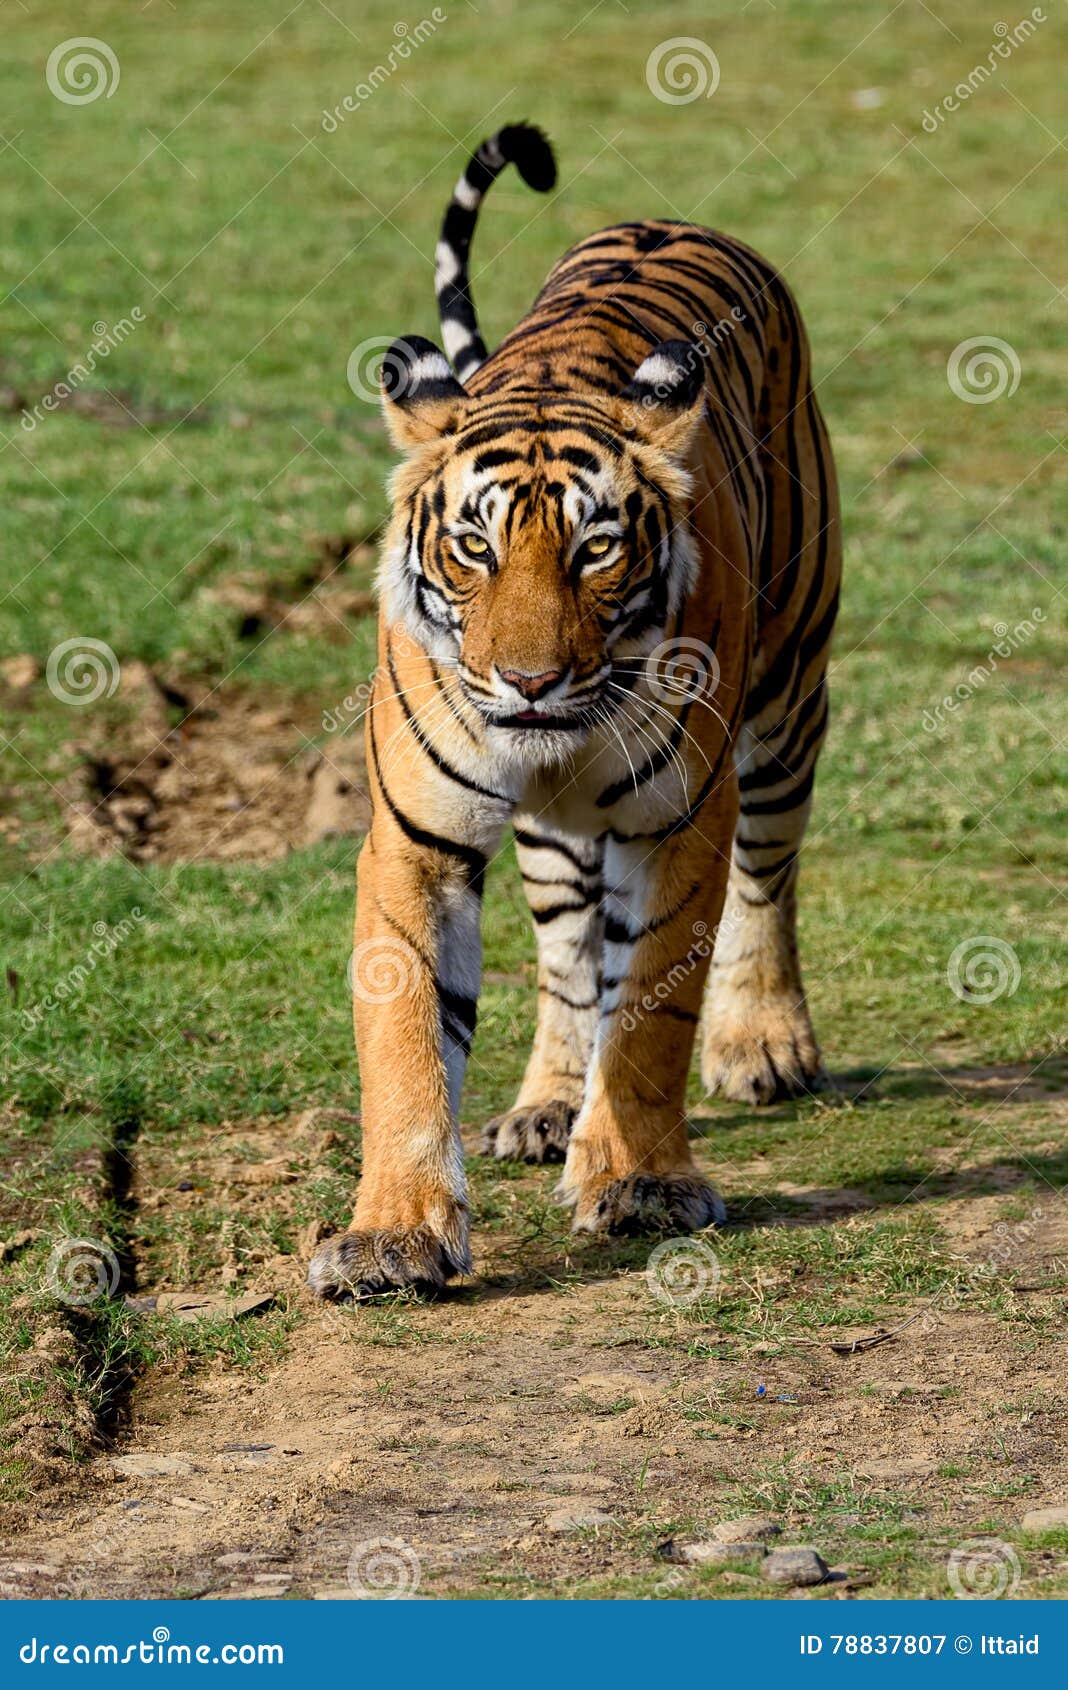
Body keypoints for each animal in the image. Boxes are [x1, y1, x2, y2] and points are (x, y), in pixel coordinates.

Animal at [308, 122, 841, 1299]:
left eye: (598, 547)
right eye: (474, 544)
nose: (529, 683)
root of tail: (668, 220)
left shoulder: (681, 820)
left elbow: (648, 1009)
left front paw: (638, 1182)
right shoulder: (415, 842)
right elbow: (409, 1036)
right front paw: (393, 1234)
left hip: (788, 705)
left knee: (767, 879)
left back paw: (762, 1042)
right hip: (557, 838)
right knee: (564, 955)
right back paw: (547, 1104)